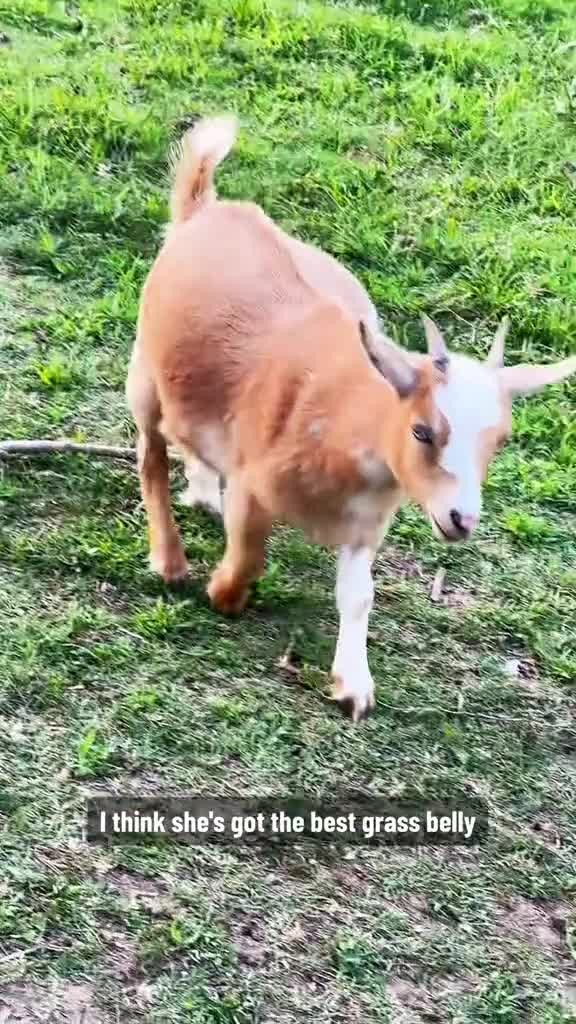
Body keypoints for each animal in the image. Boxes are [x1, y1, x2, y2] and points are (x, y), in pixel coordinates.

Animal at [127, 116, 576, 721]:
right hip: (145, 374)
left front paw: (353, 685)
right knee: (150, 453)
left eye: (498, 441)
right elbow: (247, 556)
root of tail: (205, 209)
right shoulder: (252, 481)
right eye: (422, 430)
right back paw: (169, 560)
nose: (461, 520)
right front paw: (222, 593)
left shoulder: (368, 521)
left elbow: (359, 595)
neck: (341, 424)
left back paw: (200, 494)